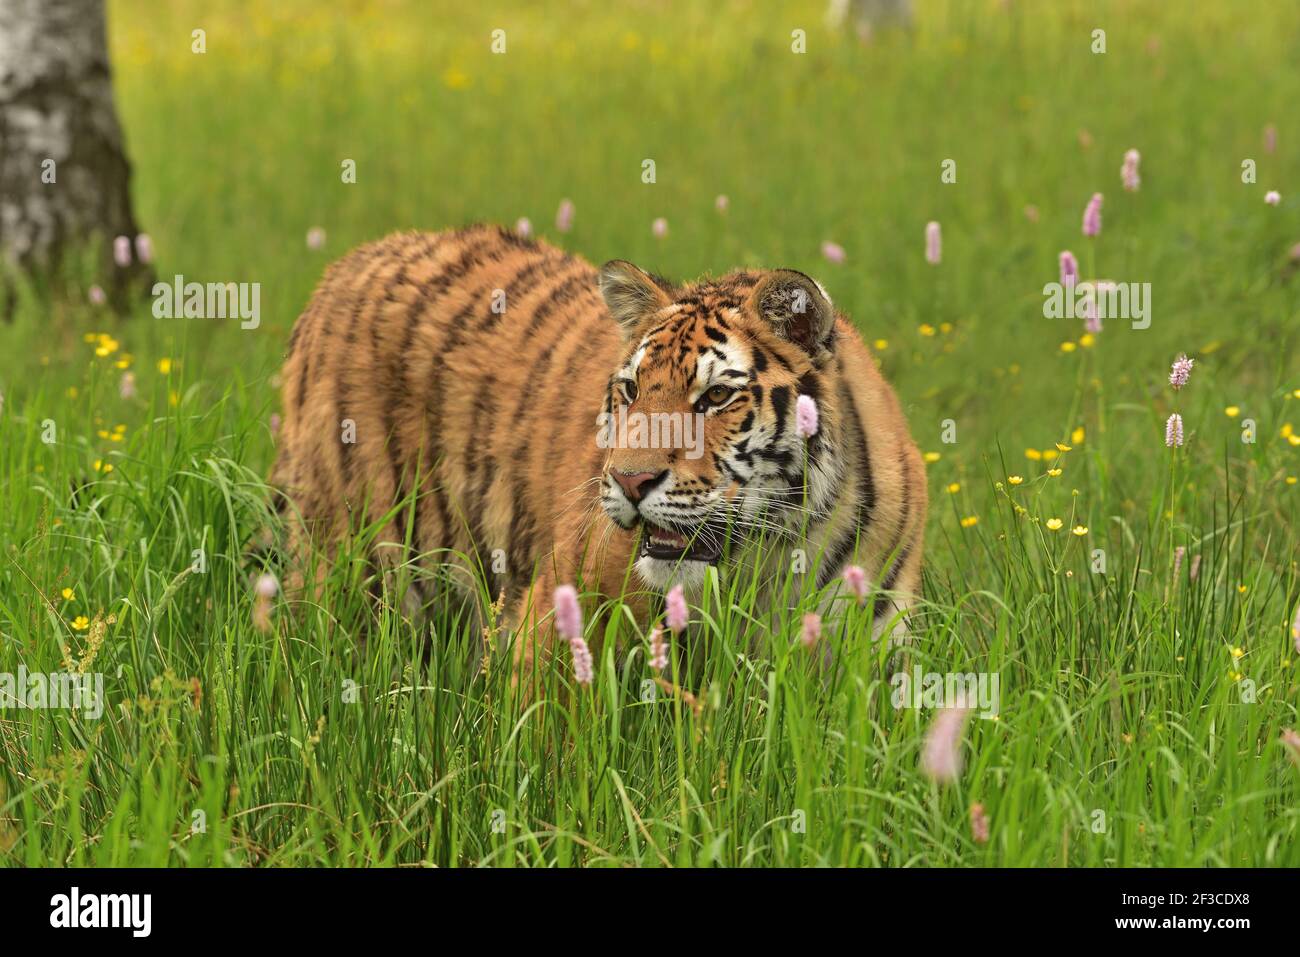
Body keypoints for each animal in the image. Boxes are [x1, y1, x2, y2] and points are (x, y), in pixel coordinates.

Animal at [269, 224, 926, 682]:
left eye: (715, 396)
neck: (771, 556)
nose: (631, 482)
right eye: (631, 391)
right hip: (347, 563)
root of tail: (345, 265)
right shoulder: (554, 618)